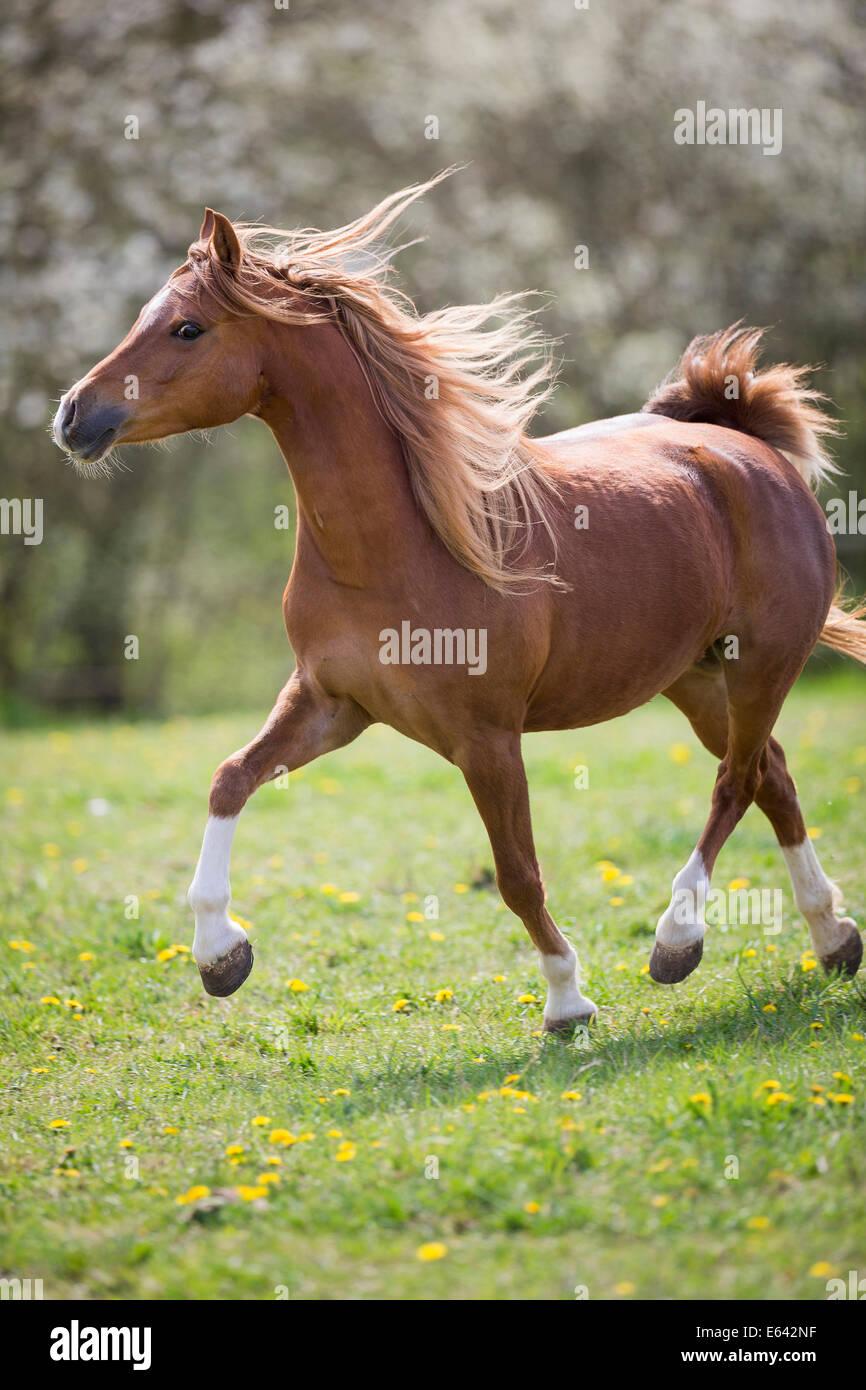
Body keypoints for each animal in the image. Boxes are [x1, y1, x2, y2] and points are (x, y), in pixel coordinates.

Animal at [52, 176, 865, 1031]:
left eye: (186, 328)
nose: (73, 415)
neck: (397, 546)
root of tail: (750, 451)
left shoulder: (487, 740)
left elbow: (518, 876)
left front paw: (567, 999)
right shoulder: (331, 705)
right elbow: (229, 777)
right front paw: (220, 953)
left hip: (761, 665)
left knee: (735, 782)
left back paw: (678, 941)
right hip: (695, 678)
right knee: (772, 775)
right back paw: (833, 938)